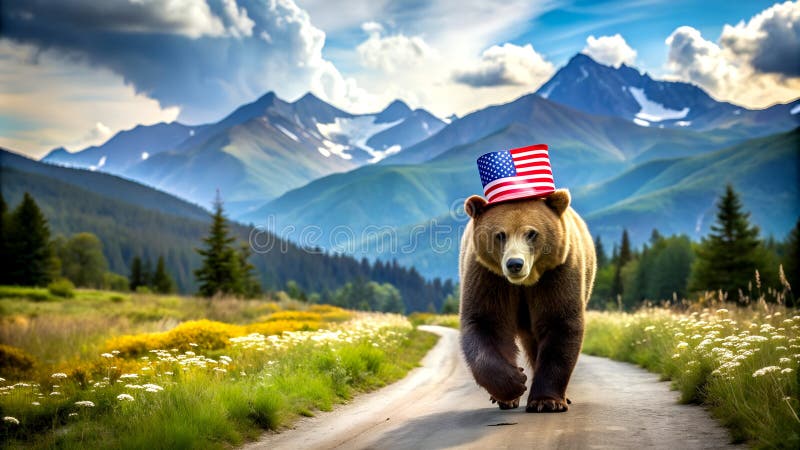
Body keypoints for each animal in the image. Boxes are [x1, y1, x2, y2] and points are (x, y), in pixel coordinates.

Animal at [459, 188, 596, 413]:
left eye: (531, 233)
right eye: (500, 235)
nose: (515, 264)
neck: (525, 283)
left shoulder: (557, 273)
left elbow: (559, 322)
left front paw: (547, 401)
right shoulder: (489, 277)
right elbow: (486, 323)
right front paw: (515, 382)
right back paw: (505, 399)